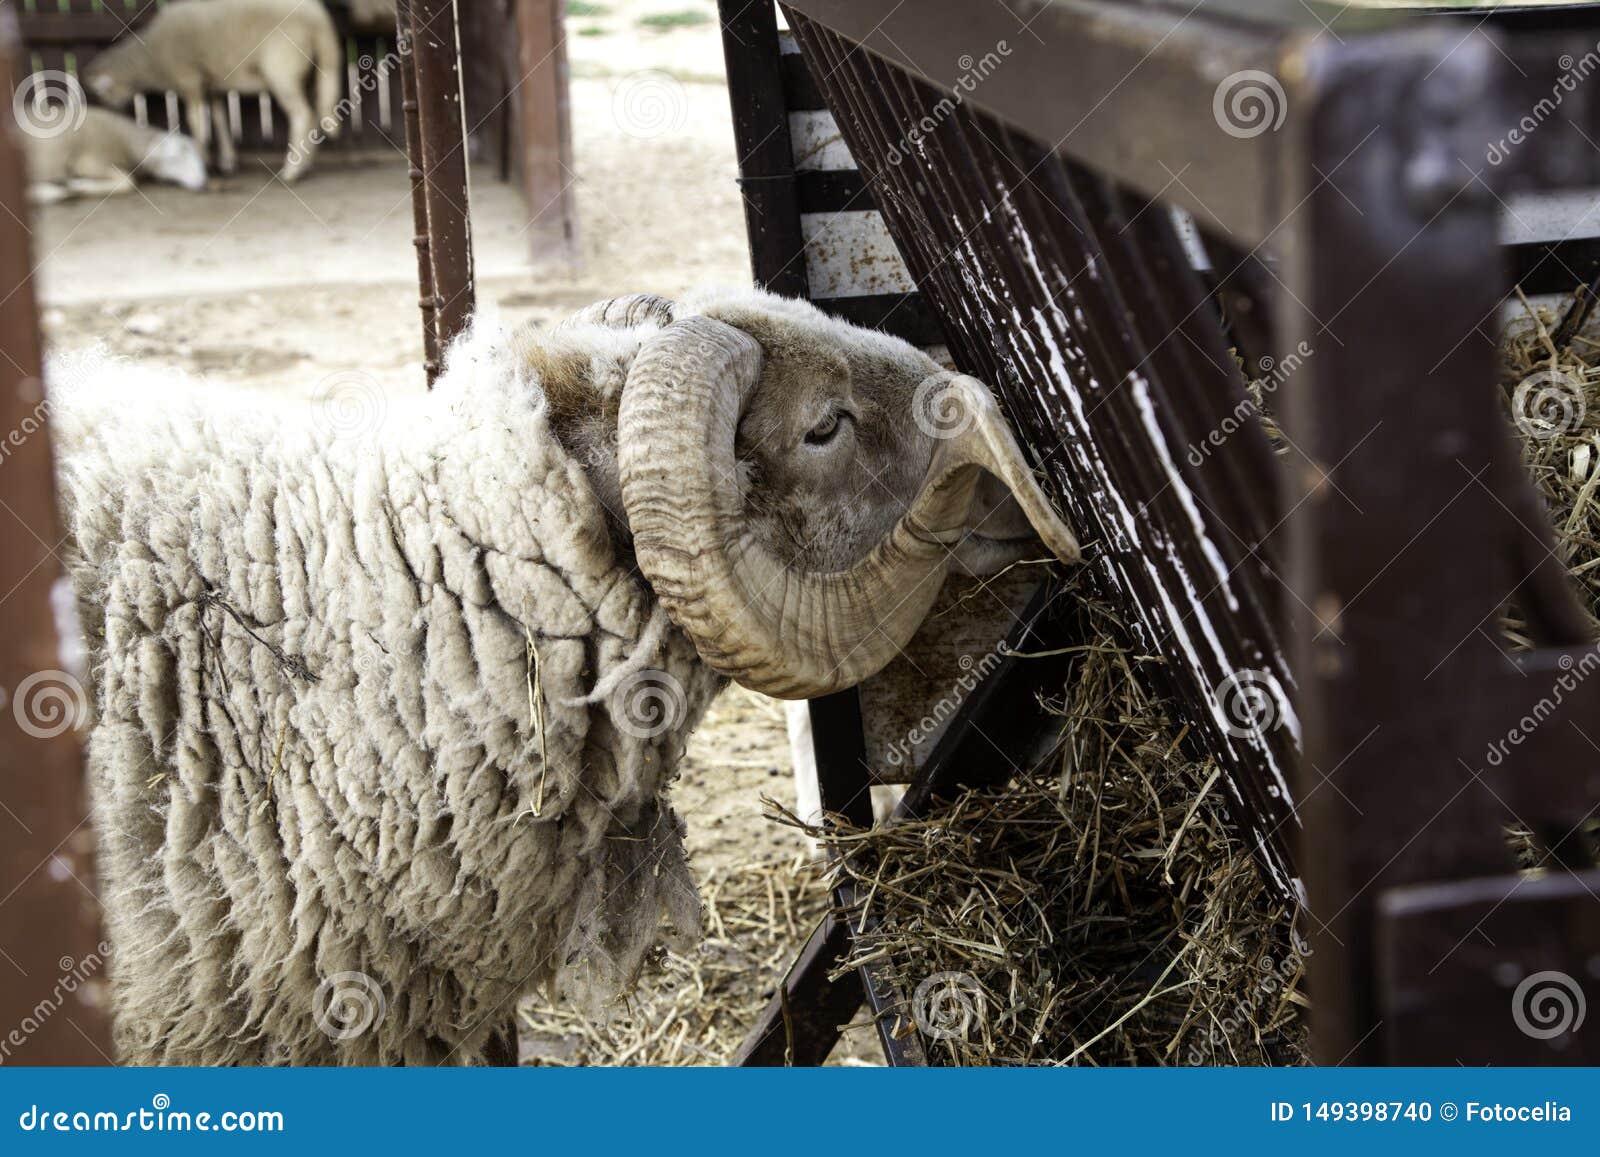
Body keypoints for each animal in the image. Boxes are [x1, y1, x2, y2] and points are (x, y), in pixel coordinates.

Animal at [24, 108, 207, 204]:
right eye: (175, 158)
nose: (202, 182)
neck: (125, 140)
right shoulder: (90, 162)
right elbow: (128, 182)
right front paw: (79, 185)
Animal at [83, 0, 342, 183]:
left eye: (103, 93)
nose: (113, 110)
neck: (149, 59)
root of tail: (318, 19)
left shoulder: (189, 79)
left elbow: (196, 121)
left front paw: (204, 159)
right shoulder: (211, 84)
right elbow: (219, 119)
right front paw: (227, 161)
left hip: (283, 67)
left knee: (302, 114)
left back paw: (291, 170)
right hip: (311, 70)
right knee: (314, 112)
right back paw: (304, 165)